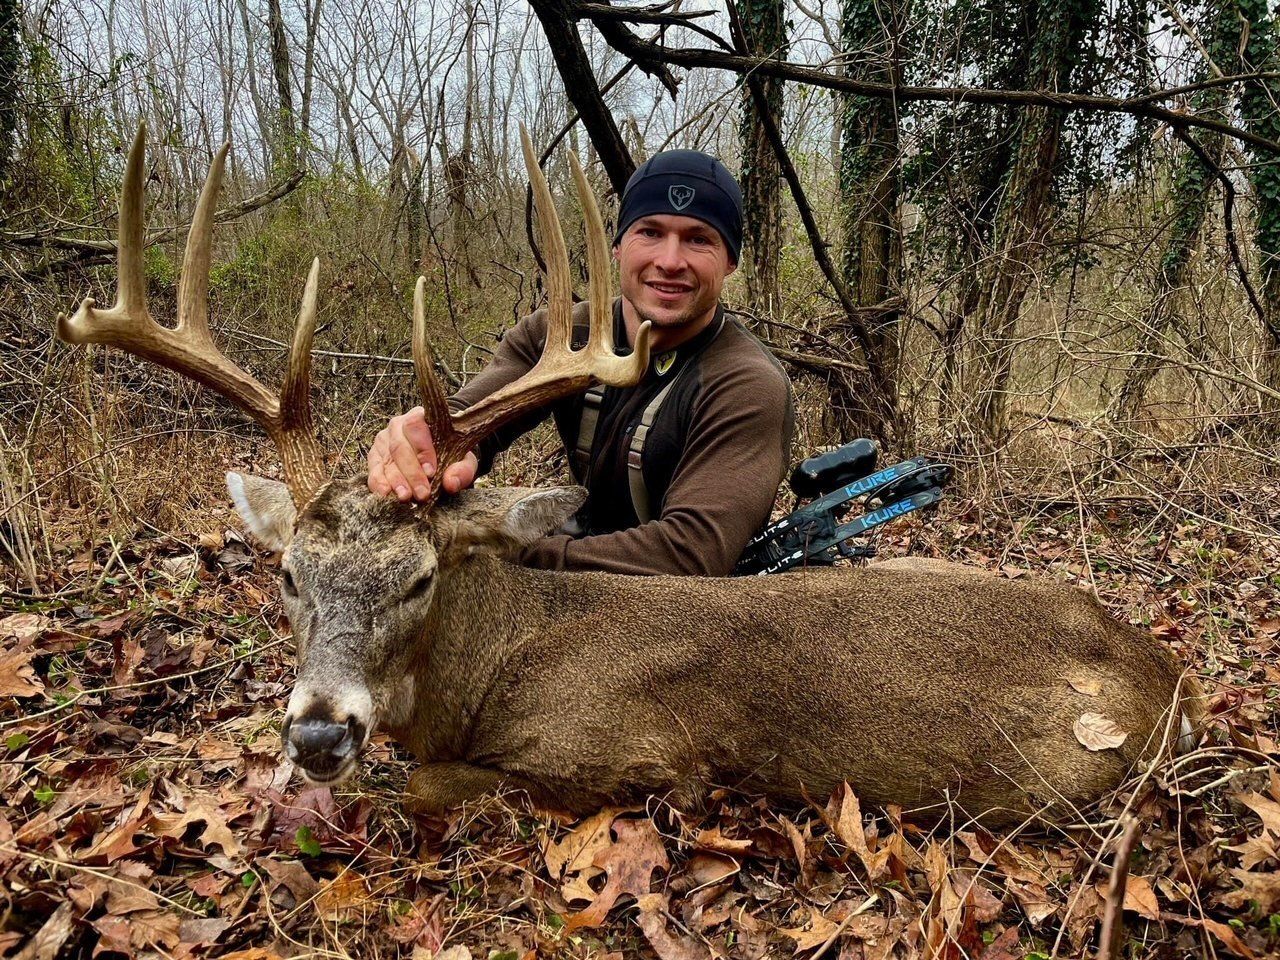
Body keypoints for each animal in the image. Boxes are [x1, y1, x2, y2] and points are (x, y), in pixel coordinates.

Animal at [59, 124, 1203, 828]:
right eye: (289, 574)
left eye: (421, 578)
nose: (317, 730)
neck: (487, 671)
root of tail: (1170, 680)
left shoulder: (639, 760)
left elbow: (425, 785)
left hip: (1046, 778)